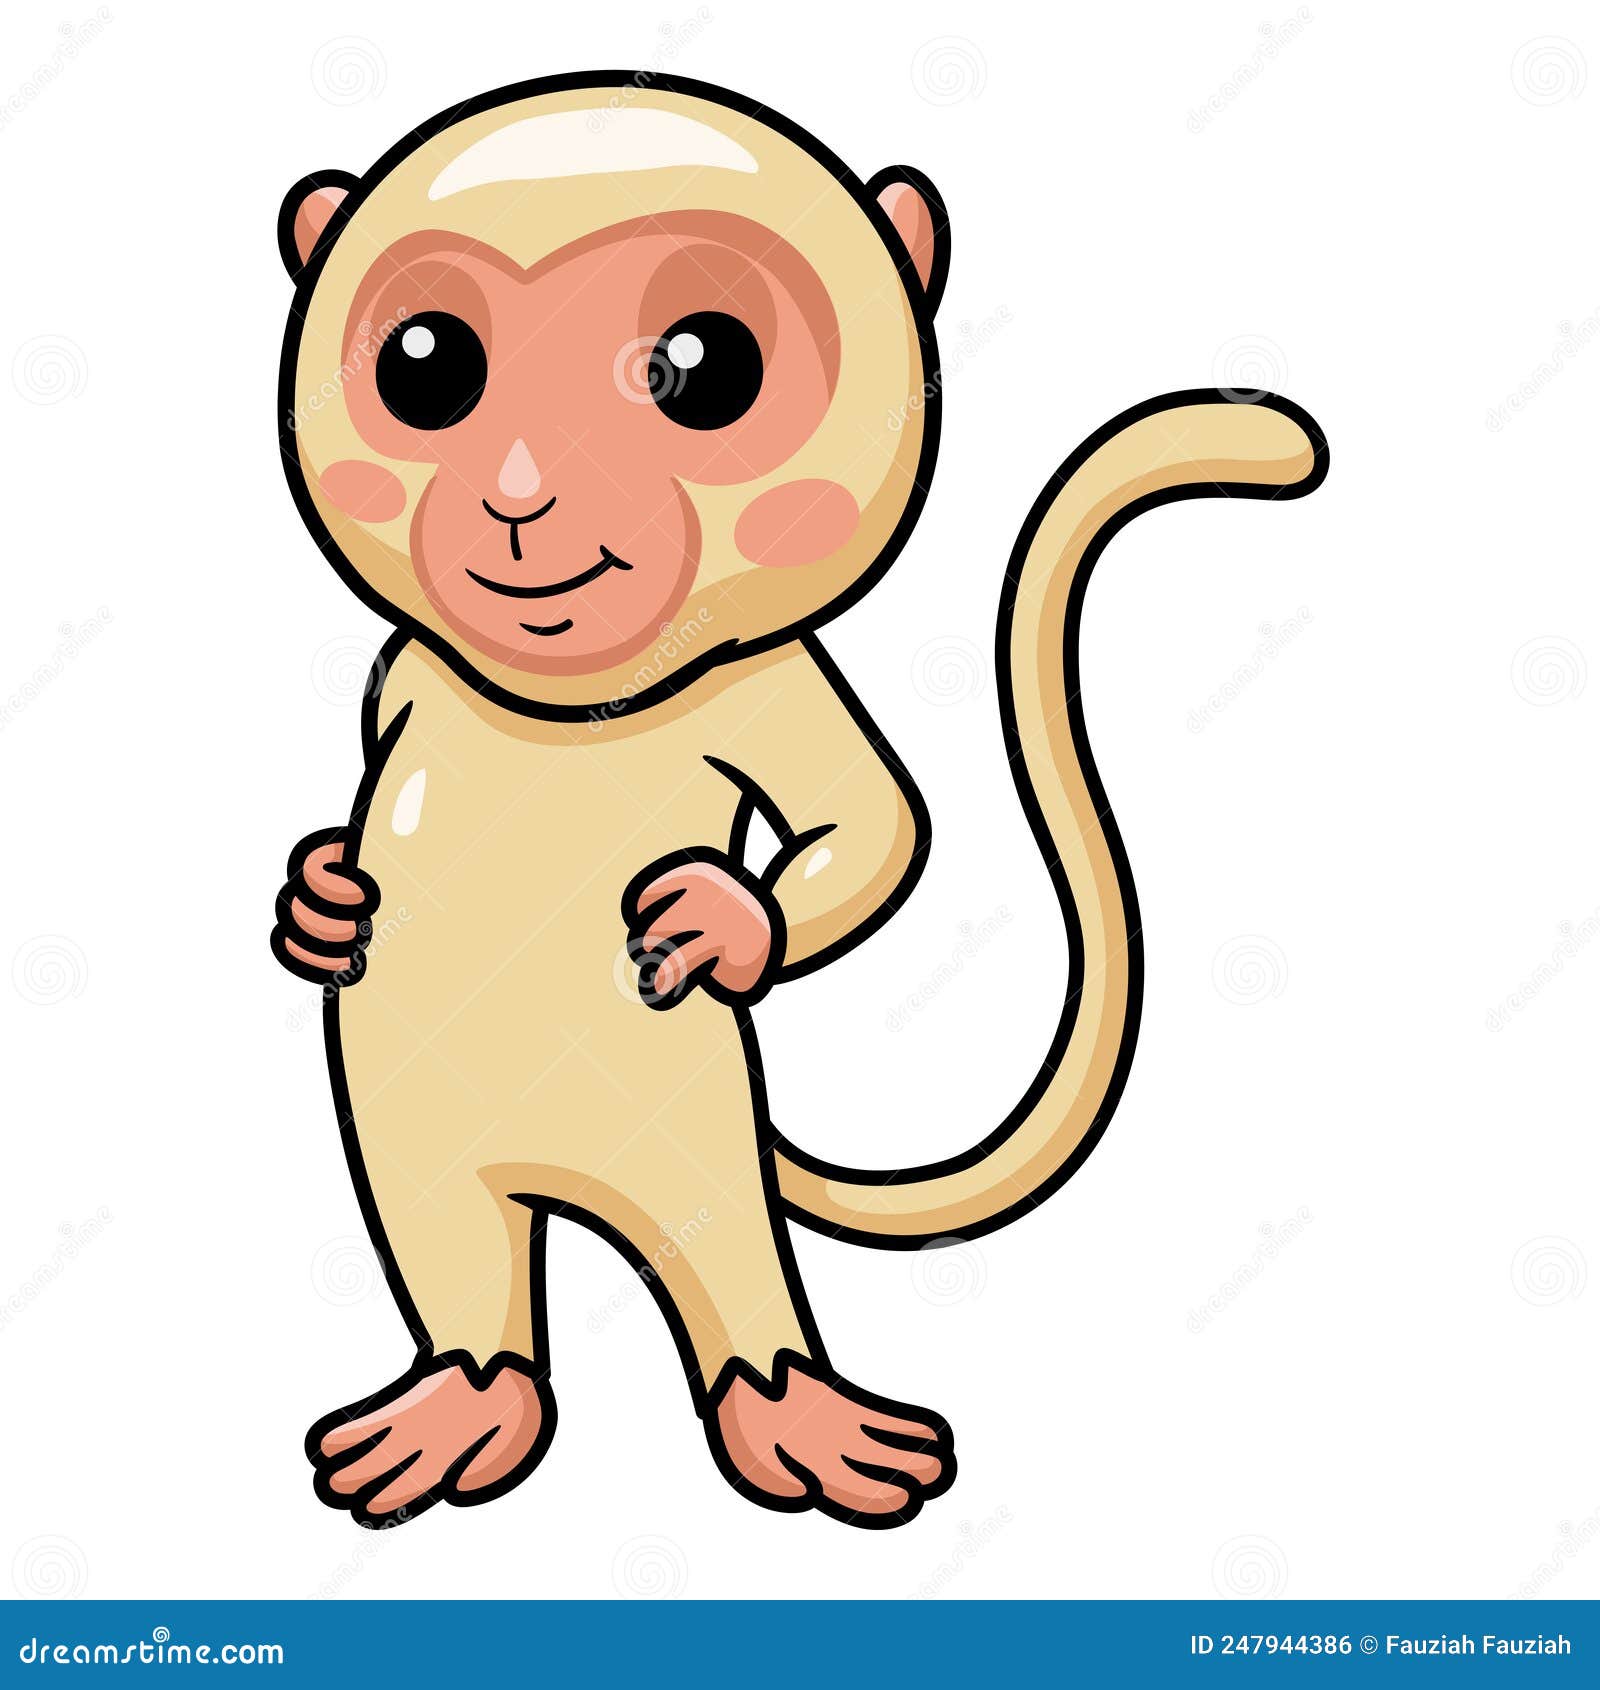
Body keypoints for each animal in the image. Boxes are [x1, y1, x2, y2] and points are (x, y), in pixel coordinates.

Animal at [271, 72, 1328, 1531]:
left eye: (706, 365)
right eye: (425, 366)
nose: (523, 495)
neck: (571, 708)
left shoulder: (778, 688)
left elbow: (876, 829)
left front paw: (716, 921)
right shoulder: (404, 671)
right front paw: (320, 900)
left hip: (694, 1143)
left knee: (734, 1276)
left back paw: (797, 1413)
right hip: (414, 1146)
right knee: (462, 1269)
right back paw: (462, 1398)